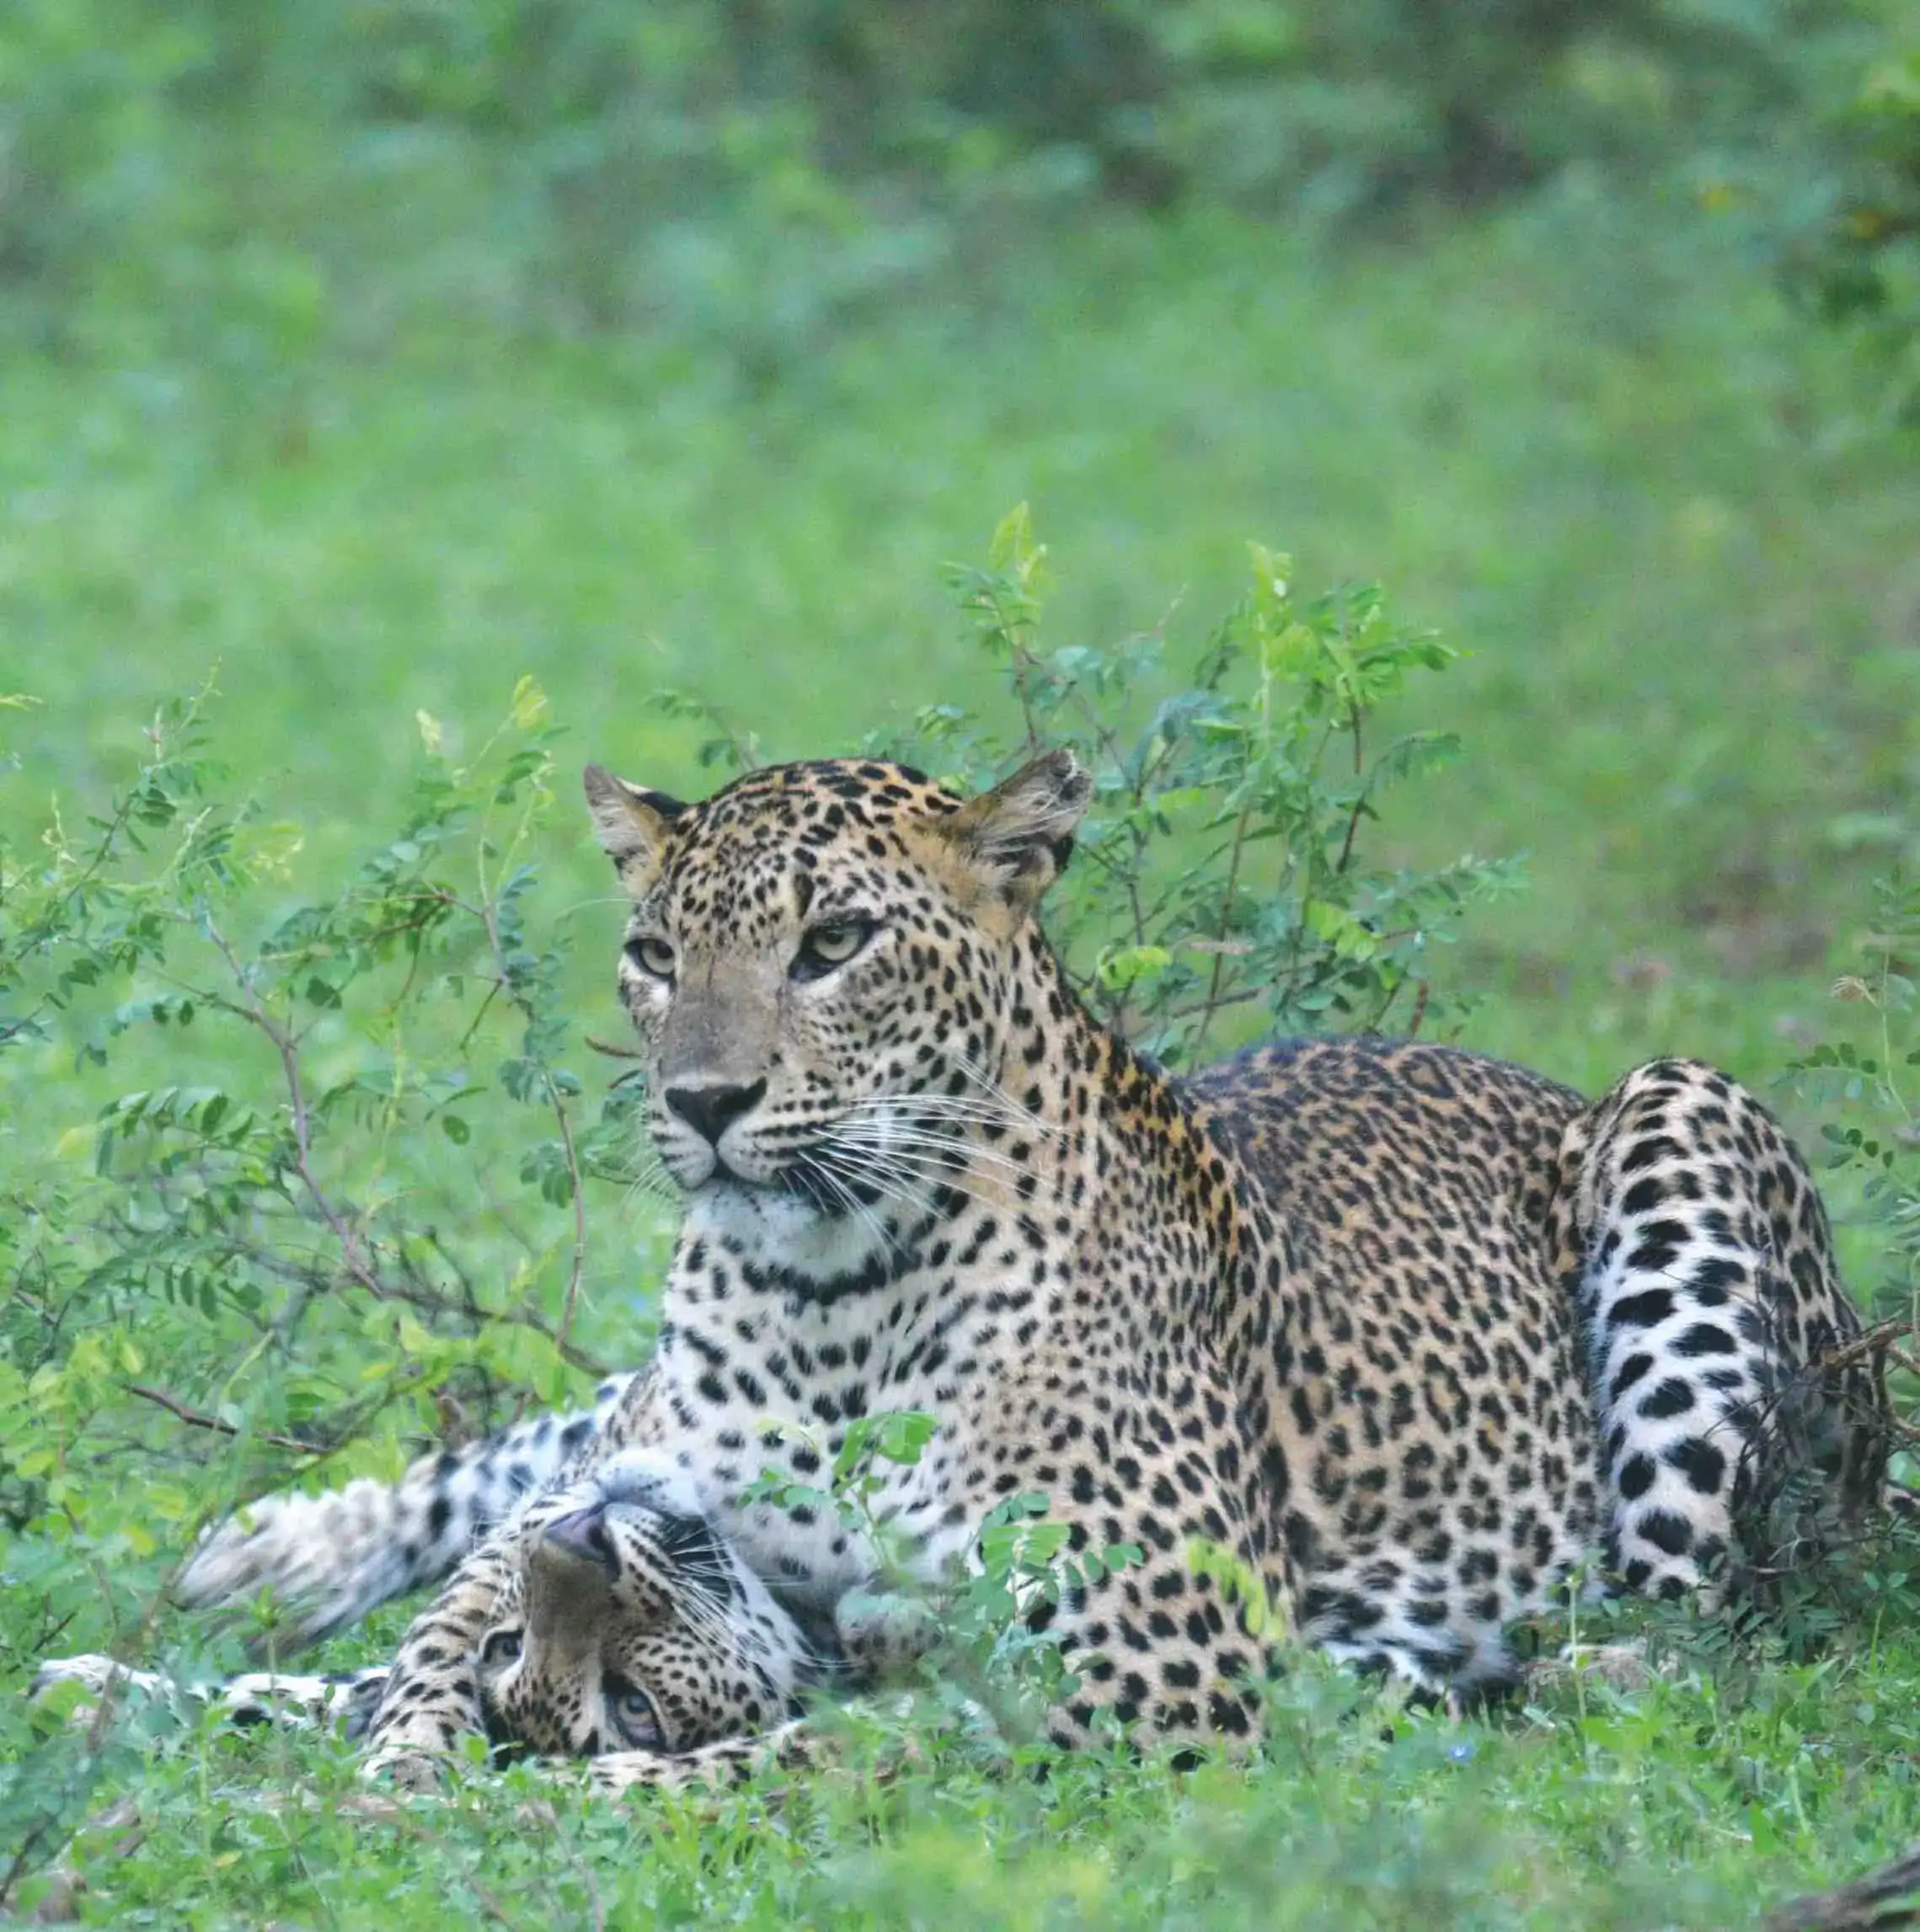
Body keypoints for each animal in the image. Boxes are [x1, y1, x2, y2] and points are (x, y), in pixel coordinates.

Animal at [149, 748, 1889, 1787]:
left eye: (831, 944)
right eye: (652, 956)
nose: (702, 1103)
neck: (825, 1301)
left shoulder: (1149, 1663)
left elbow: (822, 1743)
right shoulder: (633, 1486)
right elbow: (452, 1622)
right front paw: (396, 1736)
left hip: (1682, 1117)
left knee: (1677, 1636)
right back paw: (252, 1569)